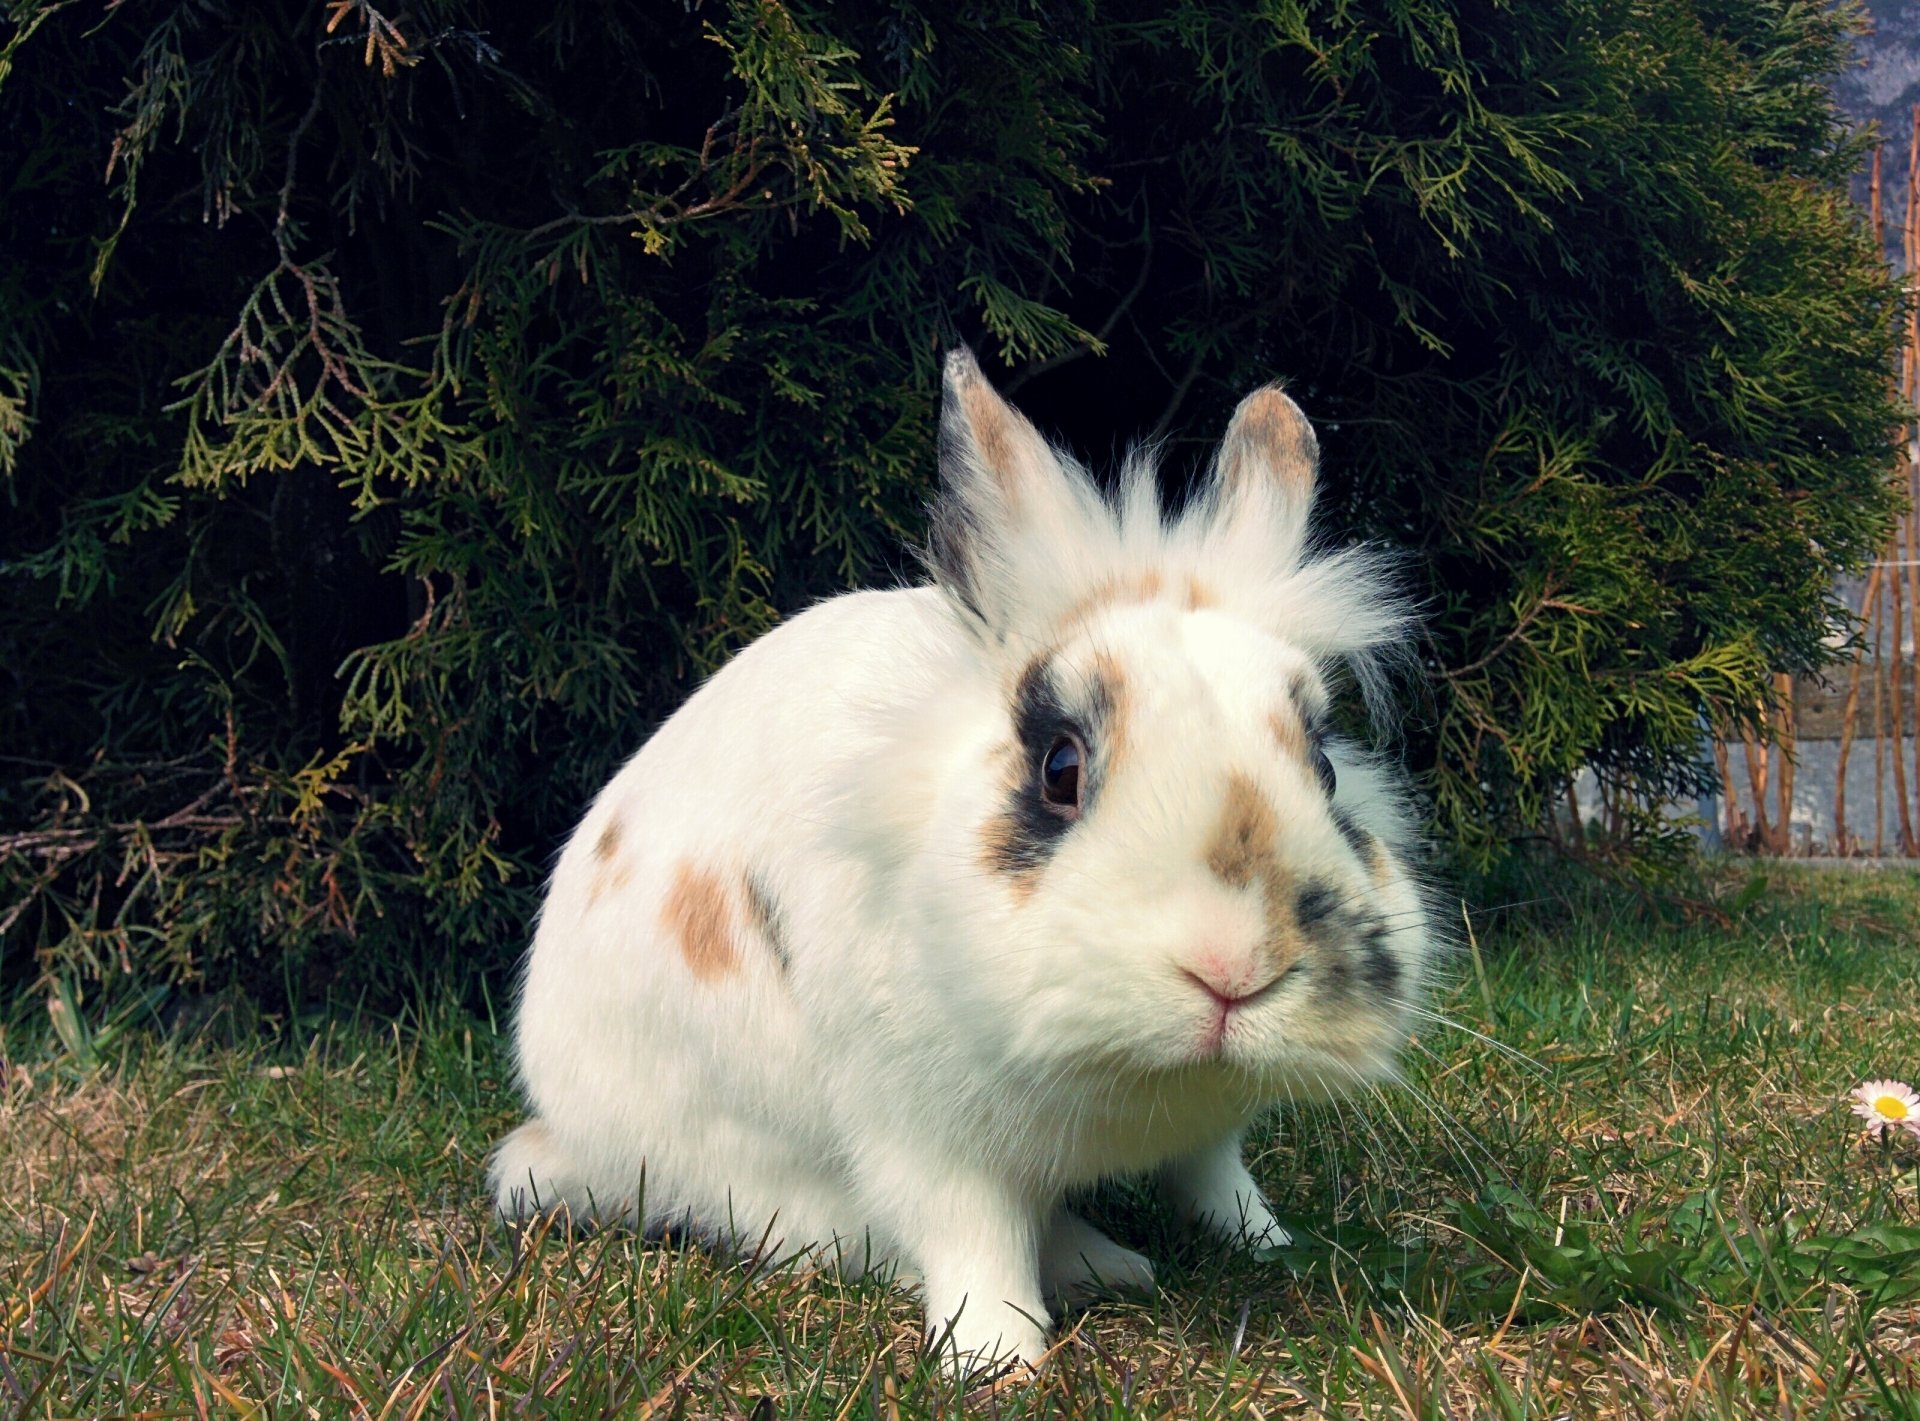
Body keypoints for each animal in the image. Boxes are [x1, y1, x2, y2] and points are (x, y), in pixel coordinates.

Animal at [489, 346, 1437, 1374]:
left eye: (1327, 768)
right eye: (1060, 768)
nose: (1233, 967)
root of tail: (566, 1132)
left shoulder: (1211, 1126)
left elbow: (1217, 1172)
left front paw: (1266, 1239)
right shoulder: (921, 1134)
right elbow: (969, 1235)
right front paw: (1000, 1358)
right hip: (743, 1156)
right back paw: (1098, 1261)